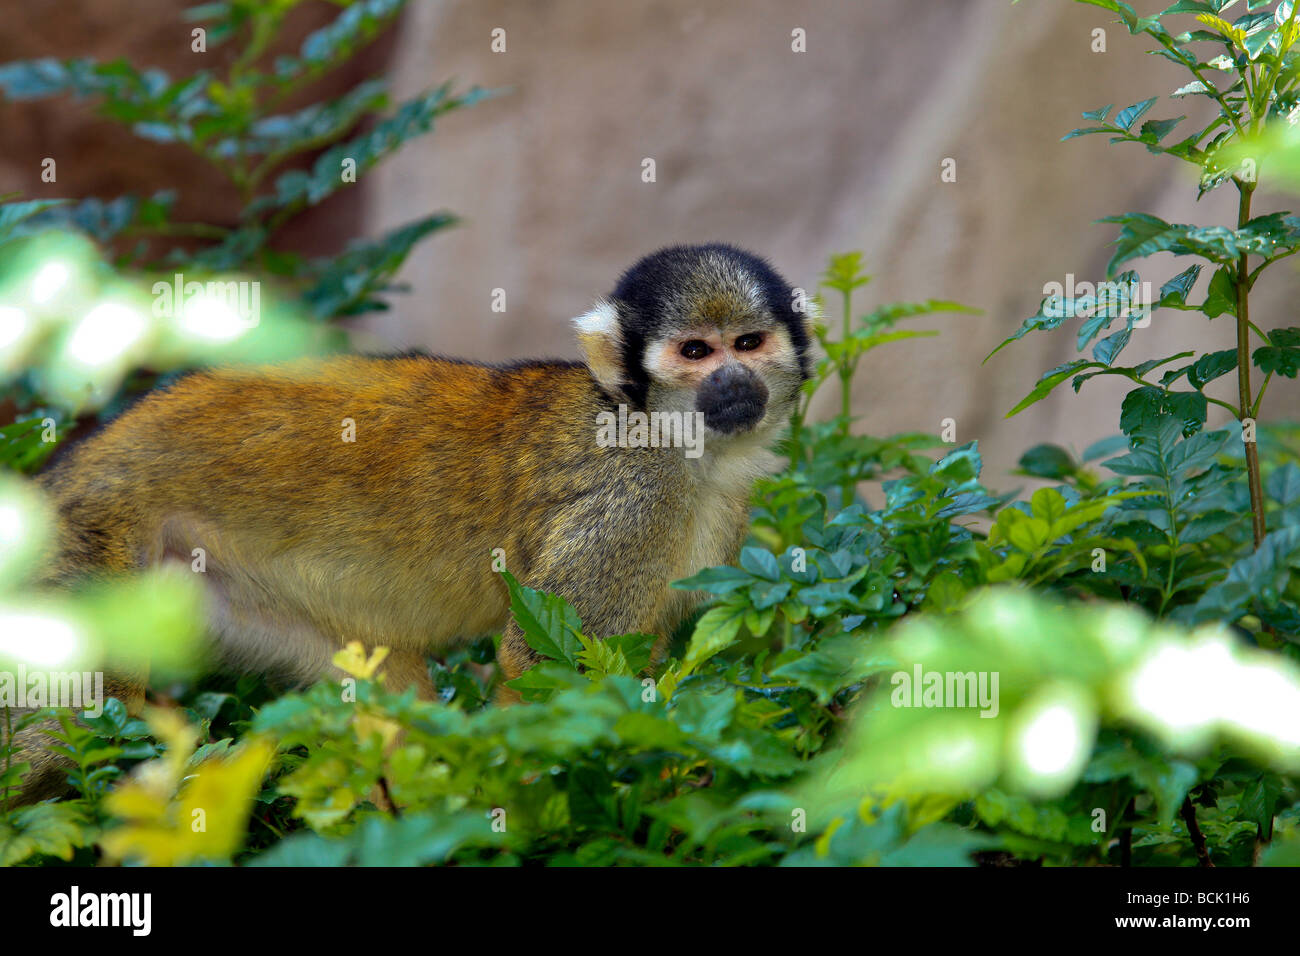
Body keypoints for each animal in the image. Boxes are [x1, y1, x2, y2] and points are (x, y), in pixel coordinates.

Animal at [6, 243, 814, 804]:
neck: (673, 442)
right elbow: (546, 669)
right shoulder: (628, 503)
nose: (732, 381)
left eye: (748, 343)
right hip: (90, 551)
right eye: (694, 351)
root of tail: (64, 475)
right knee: (73, 716)